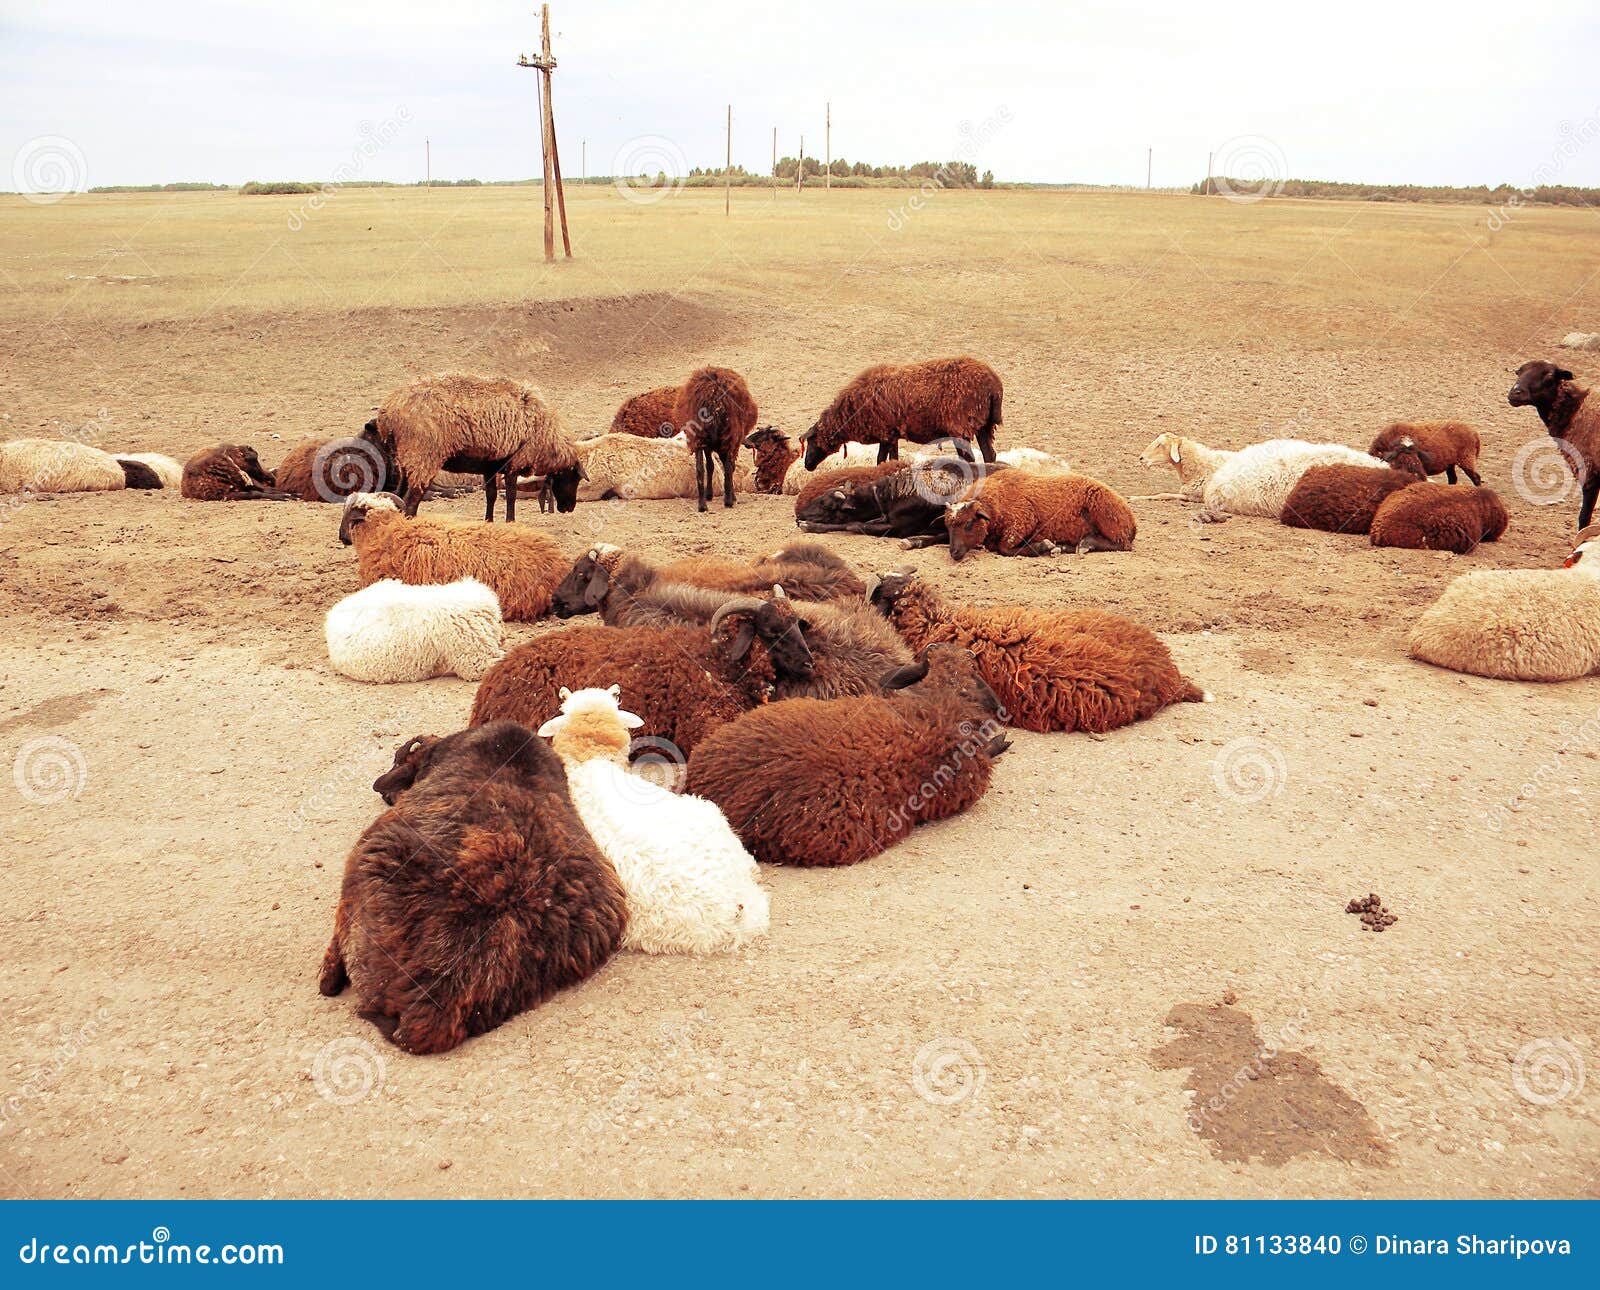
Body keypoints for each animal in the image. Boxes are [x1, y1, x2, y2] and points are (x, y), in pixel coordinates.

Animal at [371, 372, 582, 521]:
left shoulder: (490, 466)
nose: (570, 508)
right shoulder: (513, 462)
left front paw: (489, 521)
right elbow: (511, 496)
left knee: (398, 496)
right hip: (423, 457)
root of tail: (388, 412)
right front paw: (510, 521)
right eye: (574, 477)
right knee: (411, 502)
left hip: (405, 460)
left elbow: (491, 495)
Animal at [675, 366, 758, 512]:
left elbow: (710, 466)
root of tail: (713, 397)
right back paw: (728, 501)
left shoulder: (708, 445)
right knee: (728, 467)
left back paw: (702, 505)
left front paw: (711, 494)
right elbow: (723, 467)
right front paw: (729, 495)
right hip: (729, 437)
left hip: (699, 439)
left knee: (700, 469)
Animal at [800, 357, 1003, 467]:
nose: (807, 465)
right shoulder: (890, 435)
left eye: (811, 441)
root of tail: (994, 385)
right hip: (984, 426)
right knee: (989, 455)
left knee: (970, 459)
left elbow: (884, 460)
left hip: (961, 426)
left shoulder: (886, 434)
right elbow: (888, 460)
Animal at [944, 469, 1136, 560]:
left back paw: (1085, 543)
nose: (953, 552)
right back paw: (1065, 547)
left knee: (1122, 544)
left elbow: (1004, 548)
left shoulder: (1022, 520)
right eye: (948, 527)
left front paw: (1043, 546)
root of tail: (1132, 522)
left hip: (1108, 519)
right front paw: (1048, 546)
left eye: (968, 523)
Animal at [1509, 359, 1600, 529]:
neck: (1574, 409)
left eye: (1549, 376)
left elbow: (1584, 518)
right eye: (1519, 372)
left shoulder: (1588, 469)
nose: (1515, 393)